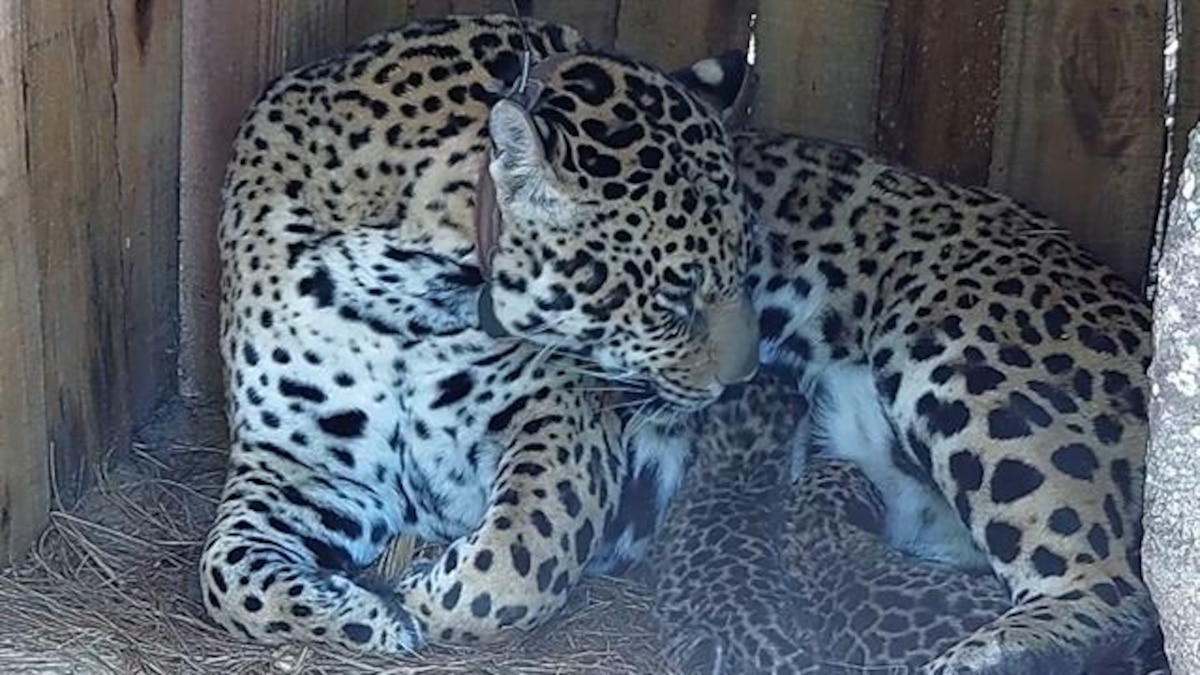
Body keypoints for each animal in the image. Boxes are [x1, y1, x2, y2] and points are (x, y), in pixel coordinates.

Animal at [199, 14, 760, 655]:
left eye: (745, 265)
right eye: (675, 298)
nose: (746, 375)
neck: (404, 297)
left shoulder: (559, 414)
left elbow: (523, 551)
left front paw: (422, 593)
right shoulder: (298, 463)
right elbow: (226, 576)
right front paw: (371, 617)